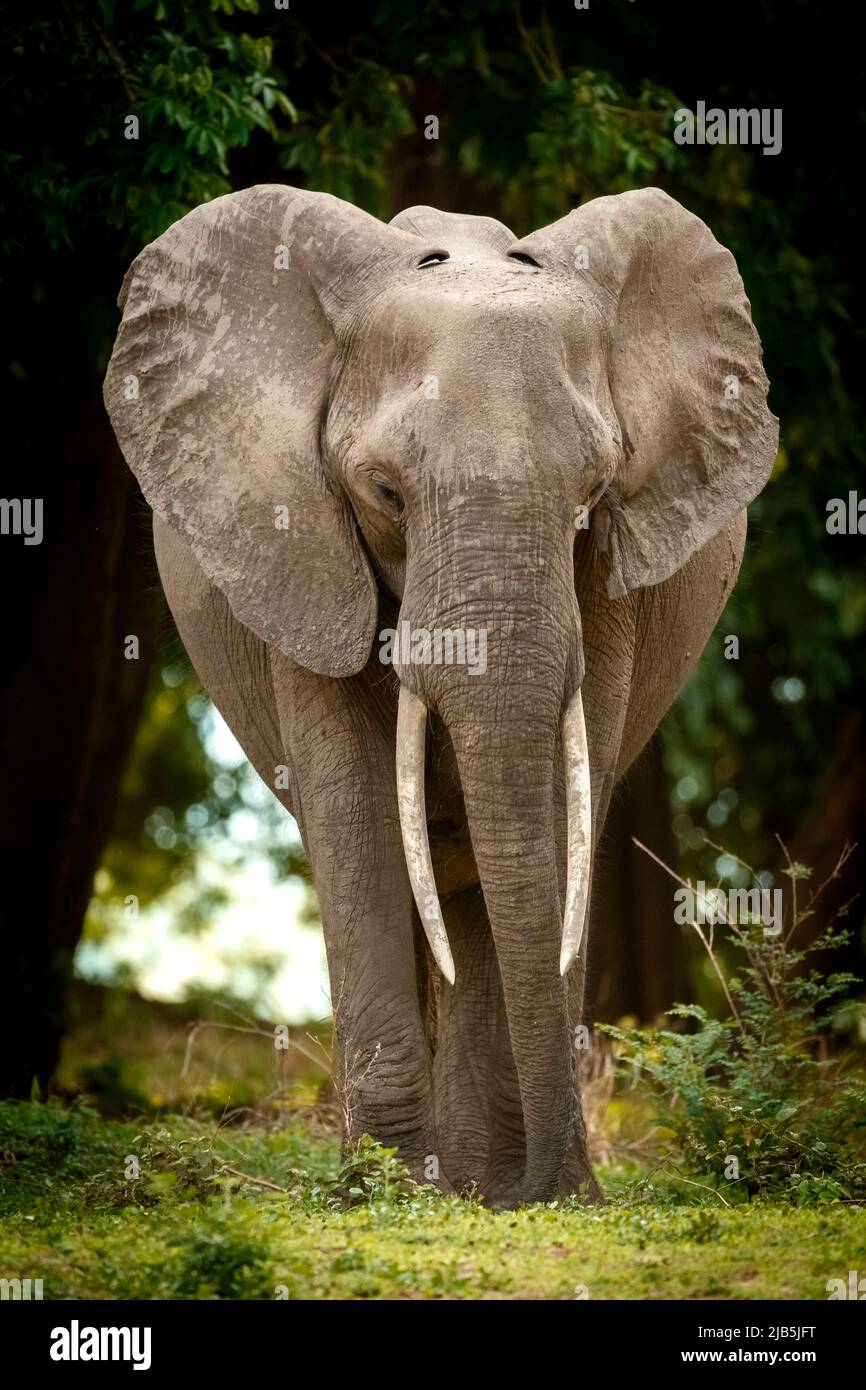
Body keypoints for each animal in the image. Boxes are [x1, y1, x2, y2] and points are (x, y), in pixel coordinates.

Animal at [103, 183, 777, 1207]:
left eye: (592, 494)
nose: (560, 1192)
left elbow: (549, 804)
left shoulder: (611, 579)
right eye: (384, 491)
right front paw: (380, 1193)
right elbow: (357, 814)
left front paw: (509, 1196)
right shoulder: (297, 544)